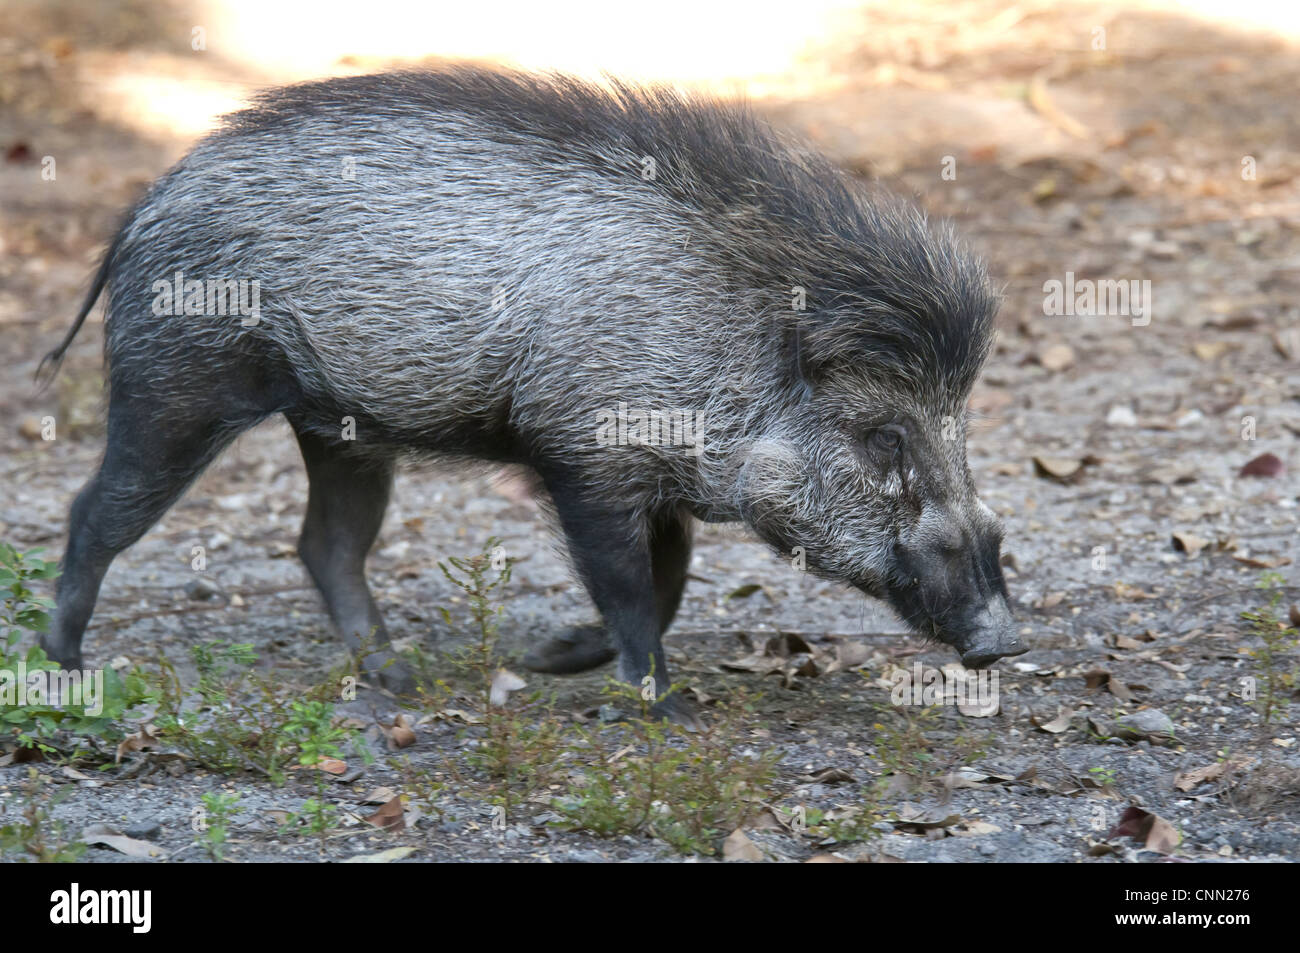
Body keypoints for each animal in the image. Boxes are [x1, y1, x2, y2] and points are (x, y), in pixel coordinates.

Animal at [39, 67, 1025, 721]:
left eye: (958, 426)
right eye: (883, 436)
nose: (1006, 640)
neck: (729, 346)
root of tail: (144, 207)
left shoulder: (658, 479)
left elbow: (670, 579)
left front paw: (548, 659)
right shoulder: (582, 458)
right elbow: (633, 587)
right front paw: (662, 704)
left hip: (341, 429)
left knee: (326, 544)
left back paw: (397, 680)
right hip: (177, 386)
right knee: (96, 511)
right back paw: (66, 664)